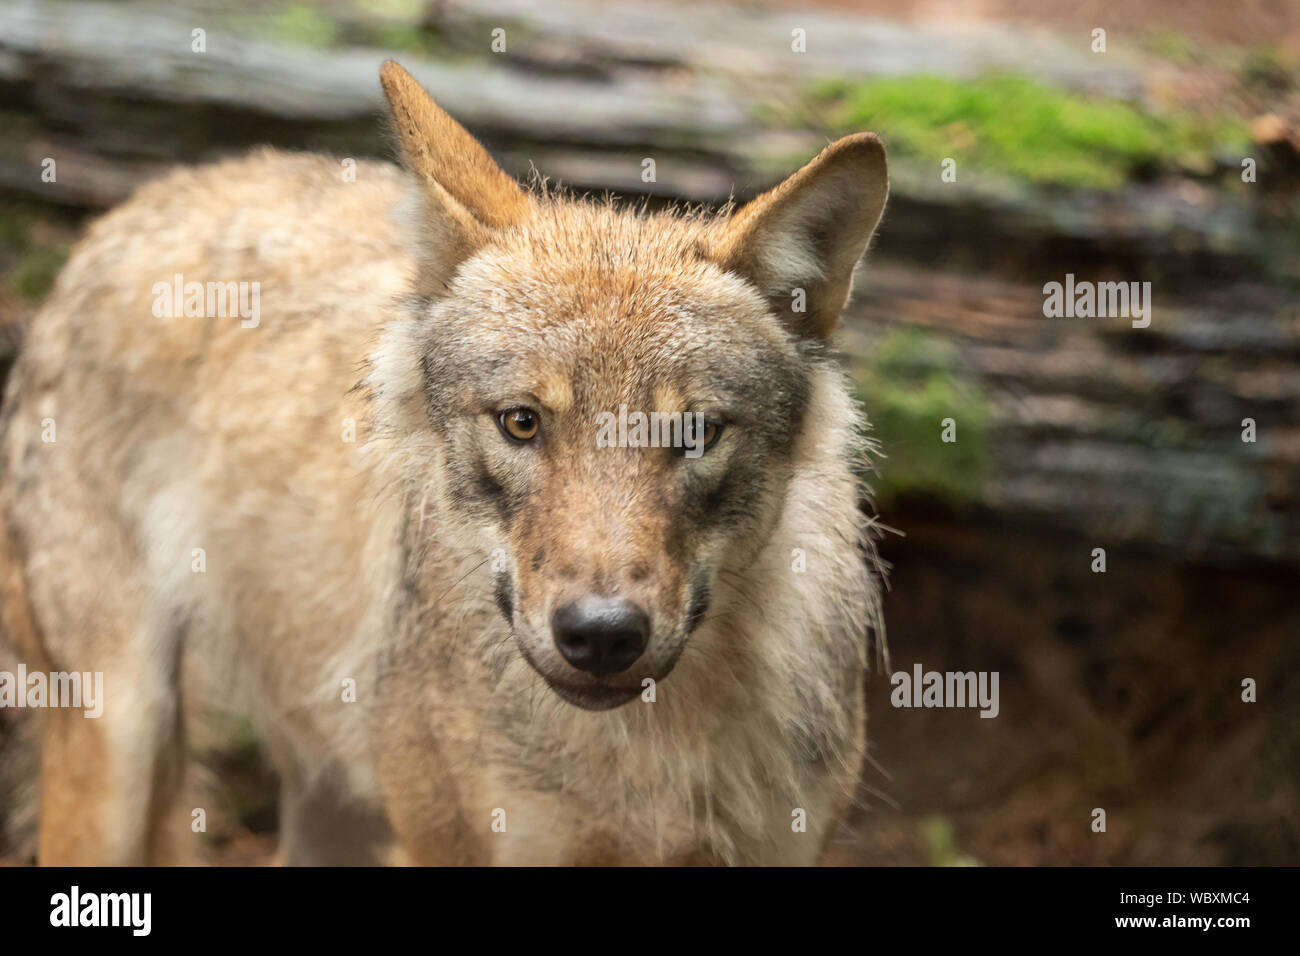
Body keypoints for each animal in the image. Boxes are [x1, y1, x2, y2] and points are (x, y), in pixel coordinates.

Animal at [0, 61, 888, 865]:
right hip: (119, 744)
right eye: (522, 423)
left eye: (696, 434)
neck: (646, 754)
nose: (601, 636)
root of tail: (138, 204)